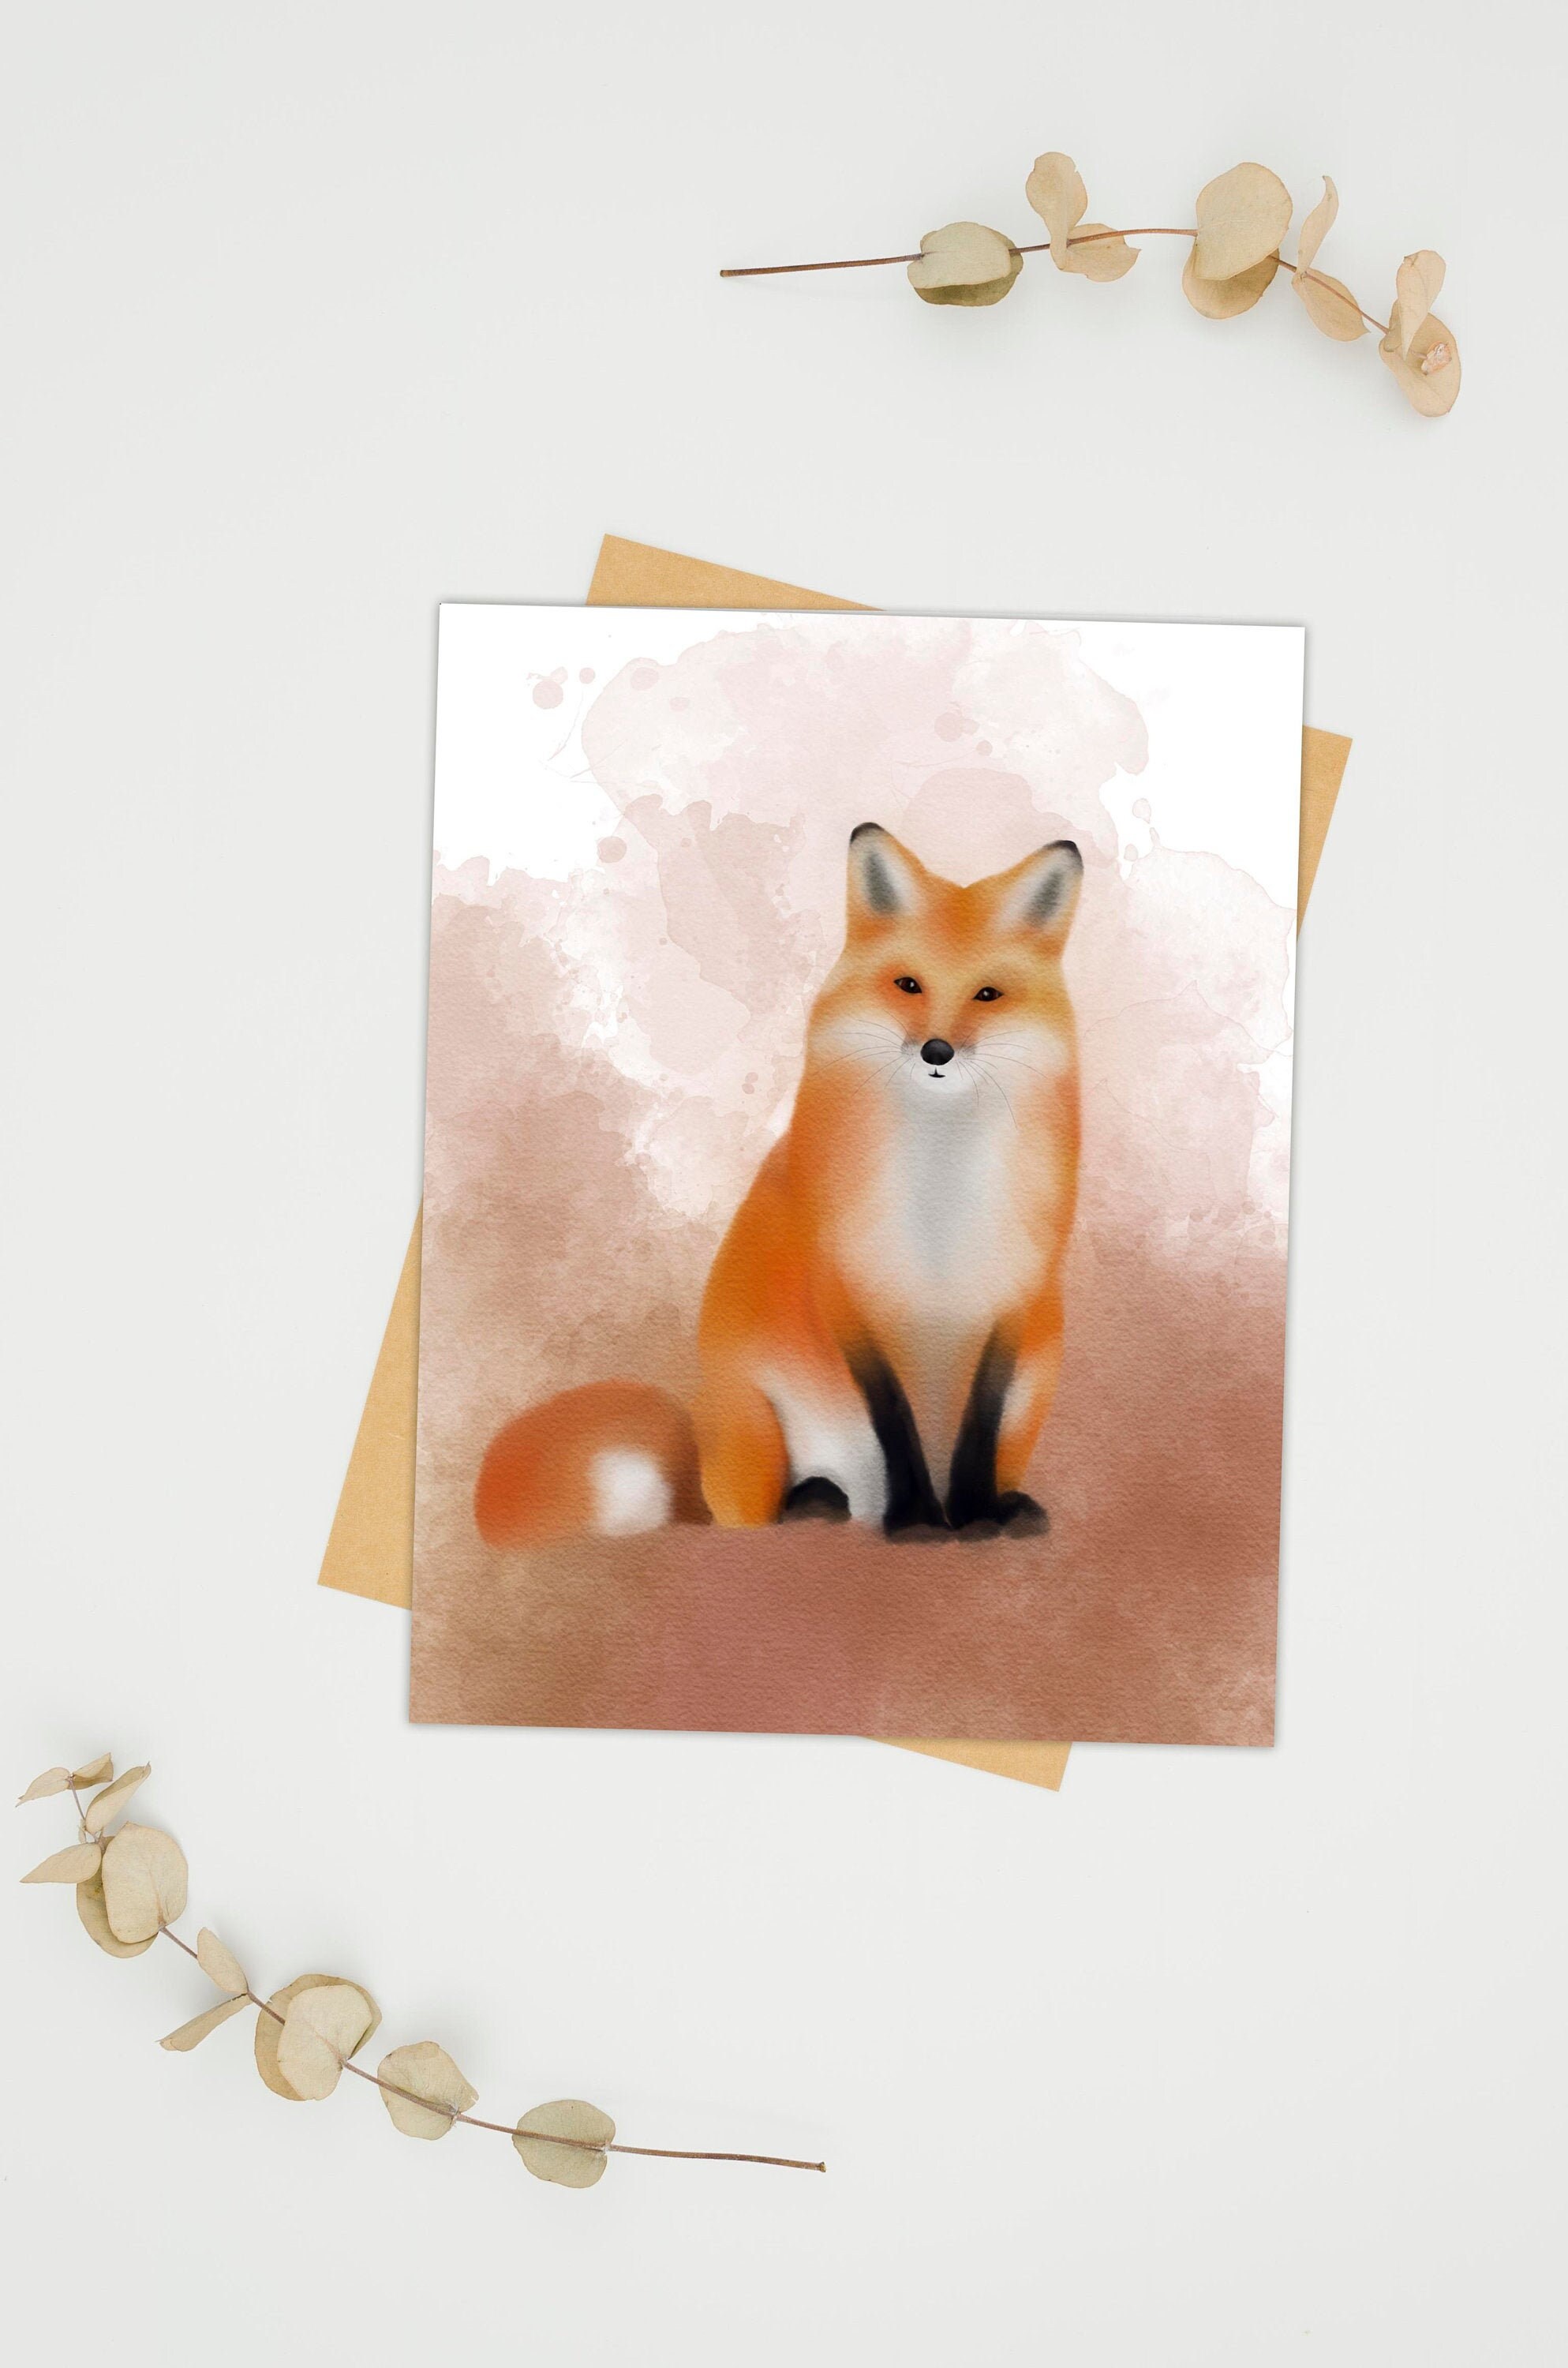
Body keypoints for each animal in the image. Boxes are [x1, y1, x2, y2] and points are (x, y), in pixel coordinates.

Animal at [474, 822, 1083, 1546]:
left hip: (1040, 1374)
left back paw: (1004, 1506)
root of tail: (700, 1449)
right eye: (908, 984)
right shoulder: (843, 1285)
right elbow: (892, 1420)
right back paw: (817, 1504)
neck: (942, 1175)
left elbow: (978, 1429)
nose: (936, 1051)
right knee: (752, 1516)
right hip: (758, 1433)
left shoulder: (1015, 1294)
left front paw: (975, 1517)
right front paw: (915, 1521)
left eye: (986, 995)